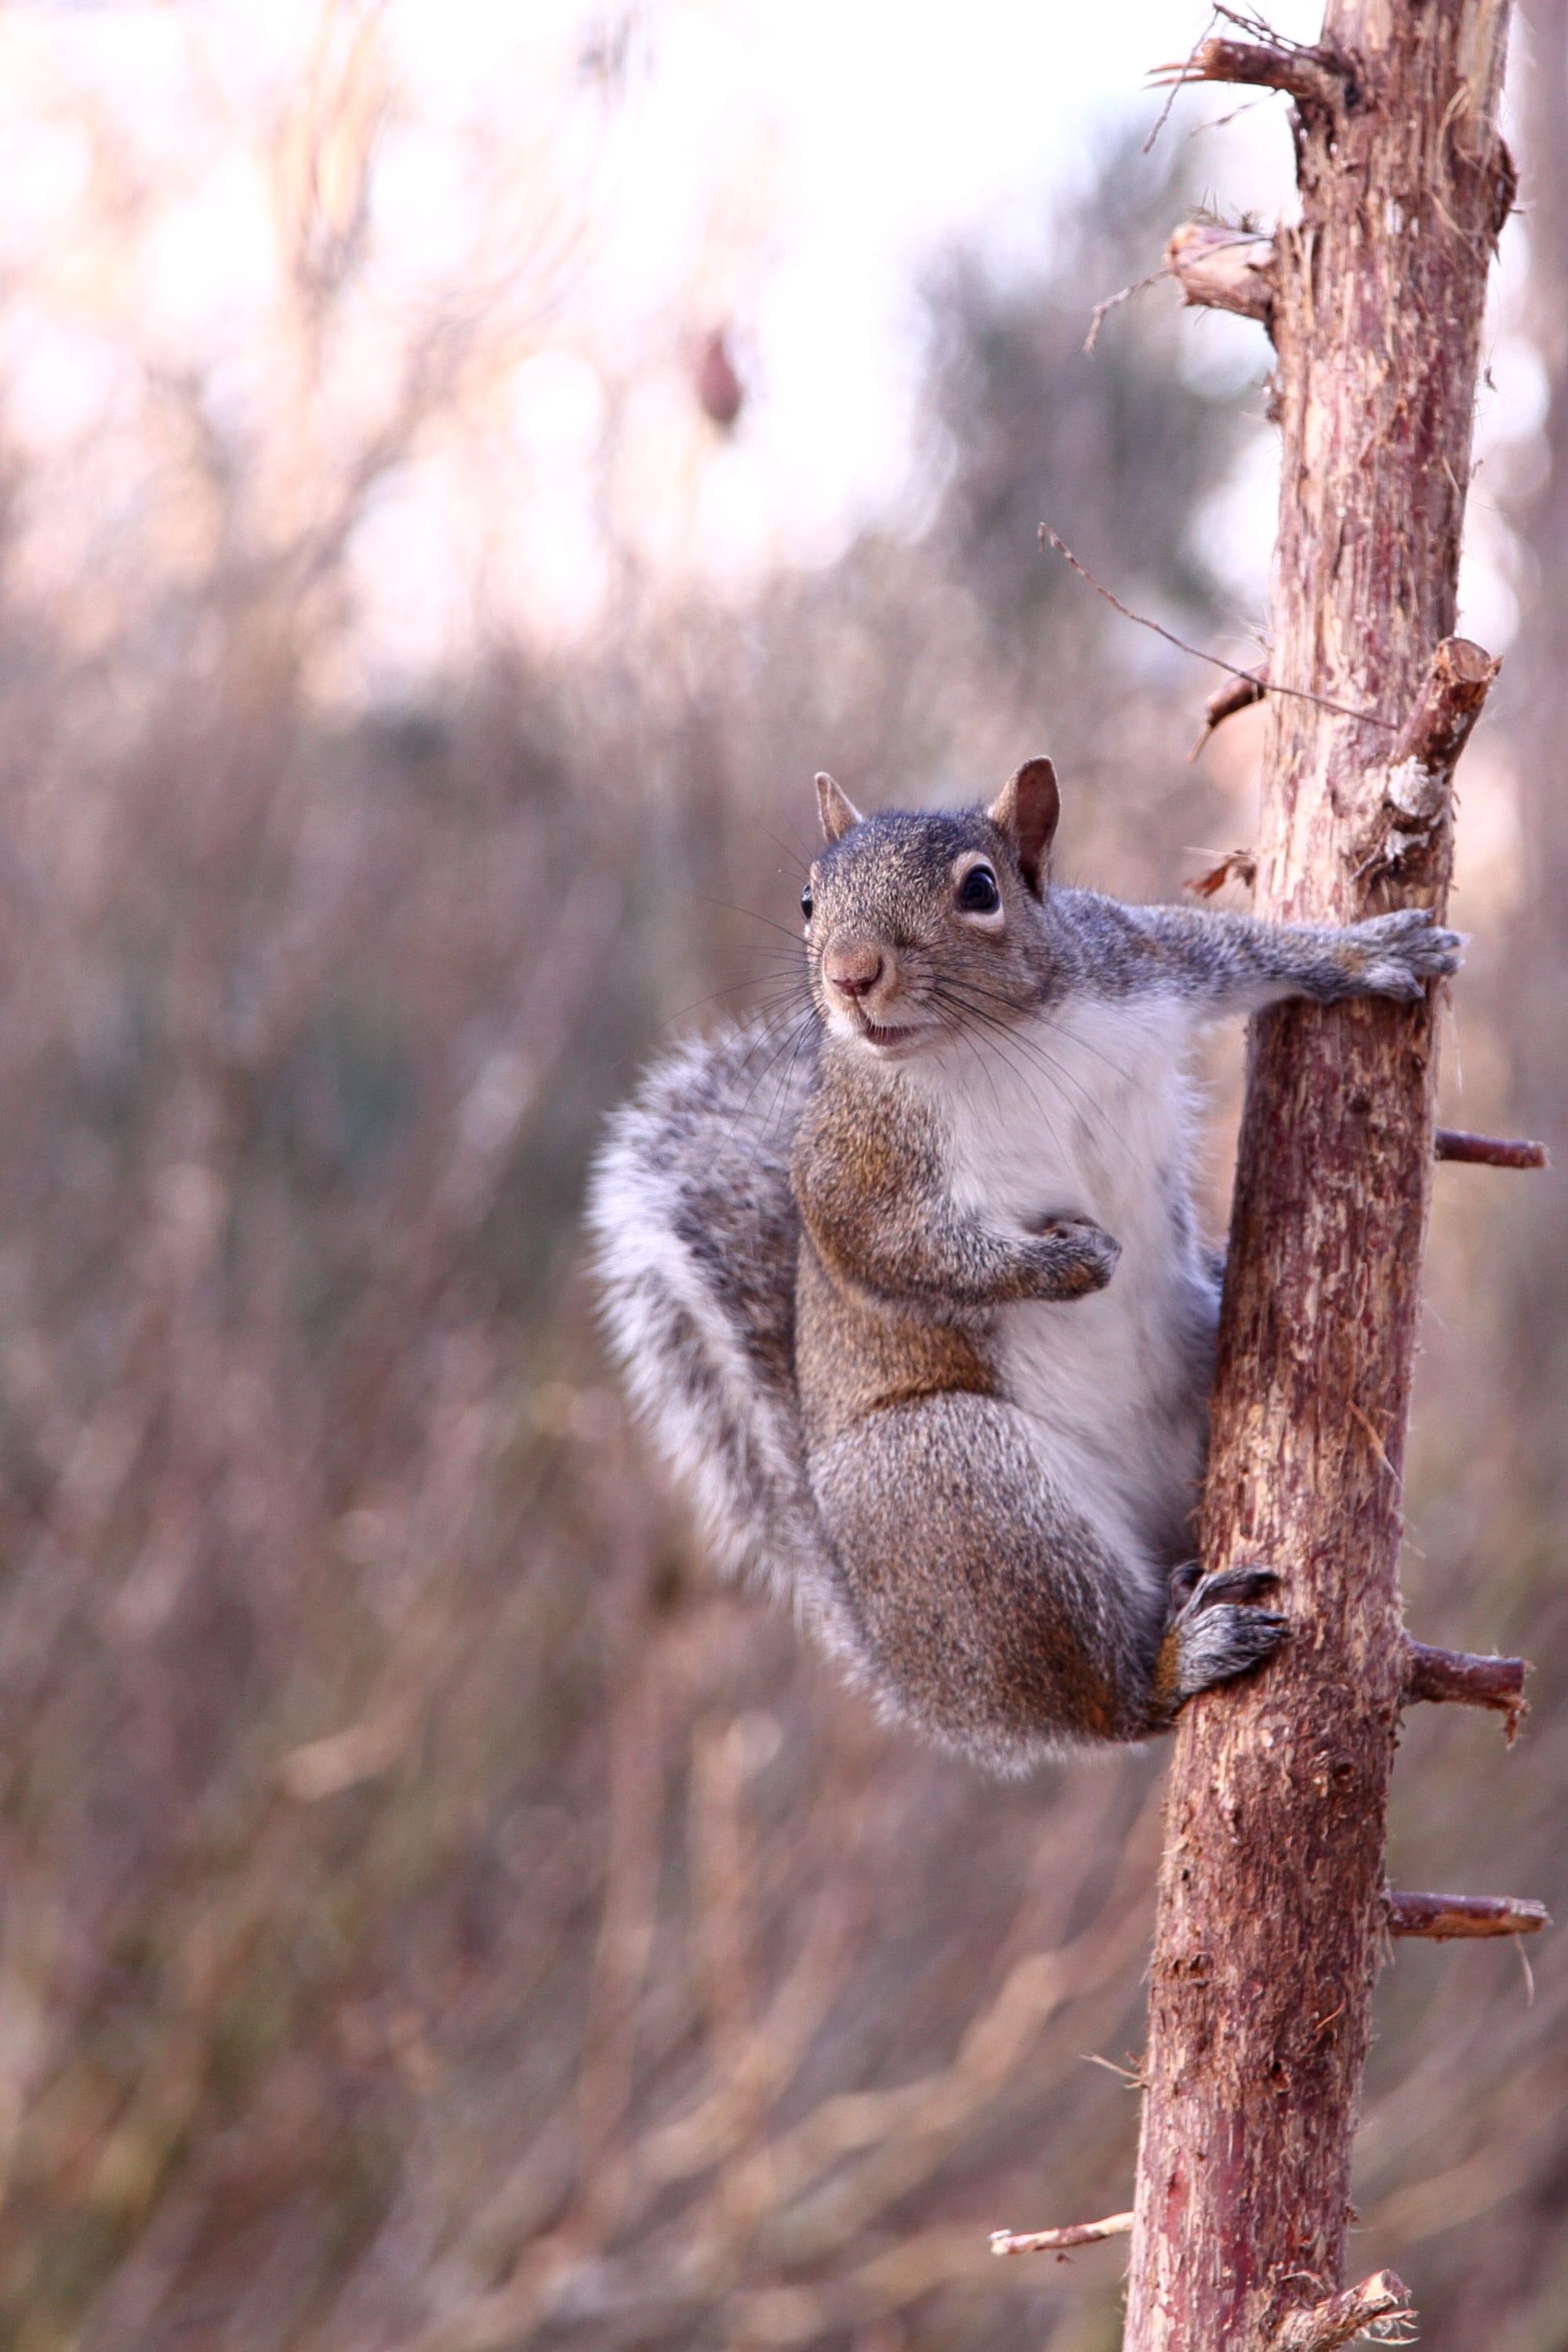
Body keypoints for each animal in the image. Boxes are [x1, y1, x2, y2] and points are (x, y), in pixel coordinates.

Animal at [590, 758, 1462, 1773]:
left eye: (980, 889)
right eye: (808, 899)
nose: (850, 976)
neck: (986, 1039)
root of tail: (936, 1689)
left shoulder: (1137, 961)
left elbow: (1237, 951)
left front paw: (1364, 955)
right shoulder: (848, 1165)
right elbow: (895, 1251)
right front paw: (1070, 1264)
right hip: (958, 1496)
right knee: (1109, 1700)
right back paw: (1175, 1660)